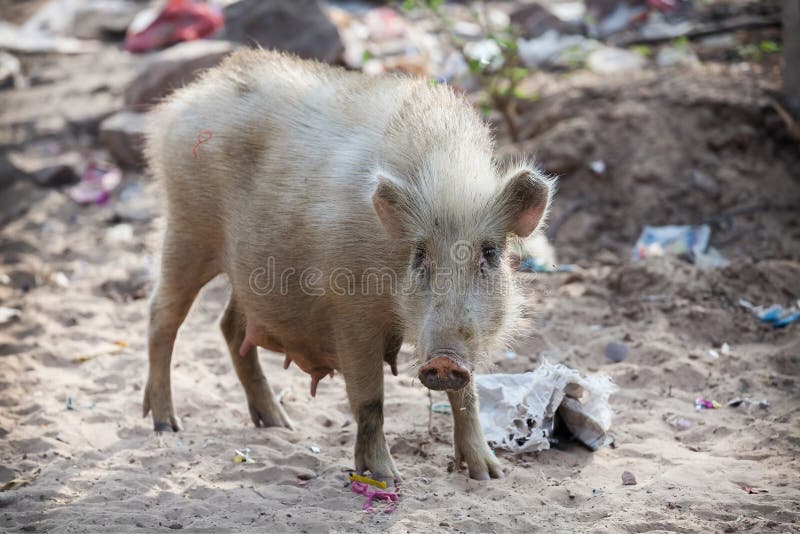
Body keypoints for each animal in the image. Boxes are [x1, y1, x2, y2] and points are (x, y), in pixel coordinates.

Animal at [143, 49, 553, 483]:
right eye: (419, 253)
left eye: (489, 253)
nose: (443, 360)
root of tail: (188, 97)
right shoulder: (350, 314)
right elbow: (370, 399)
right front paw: (388, 479)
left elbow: (468, 395)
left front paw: (489, 475)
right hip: (186, 228)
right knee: (162, 314)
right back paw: (167, 425)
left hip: (246, 272)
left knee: (230, 327)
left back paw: (279, 425)